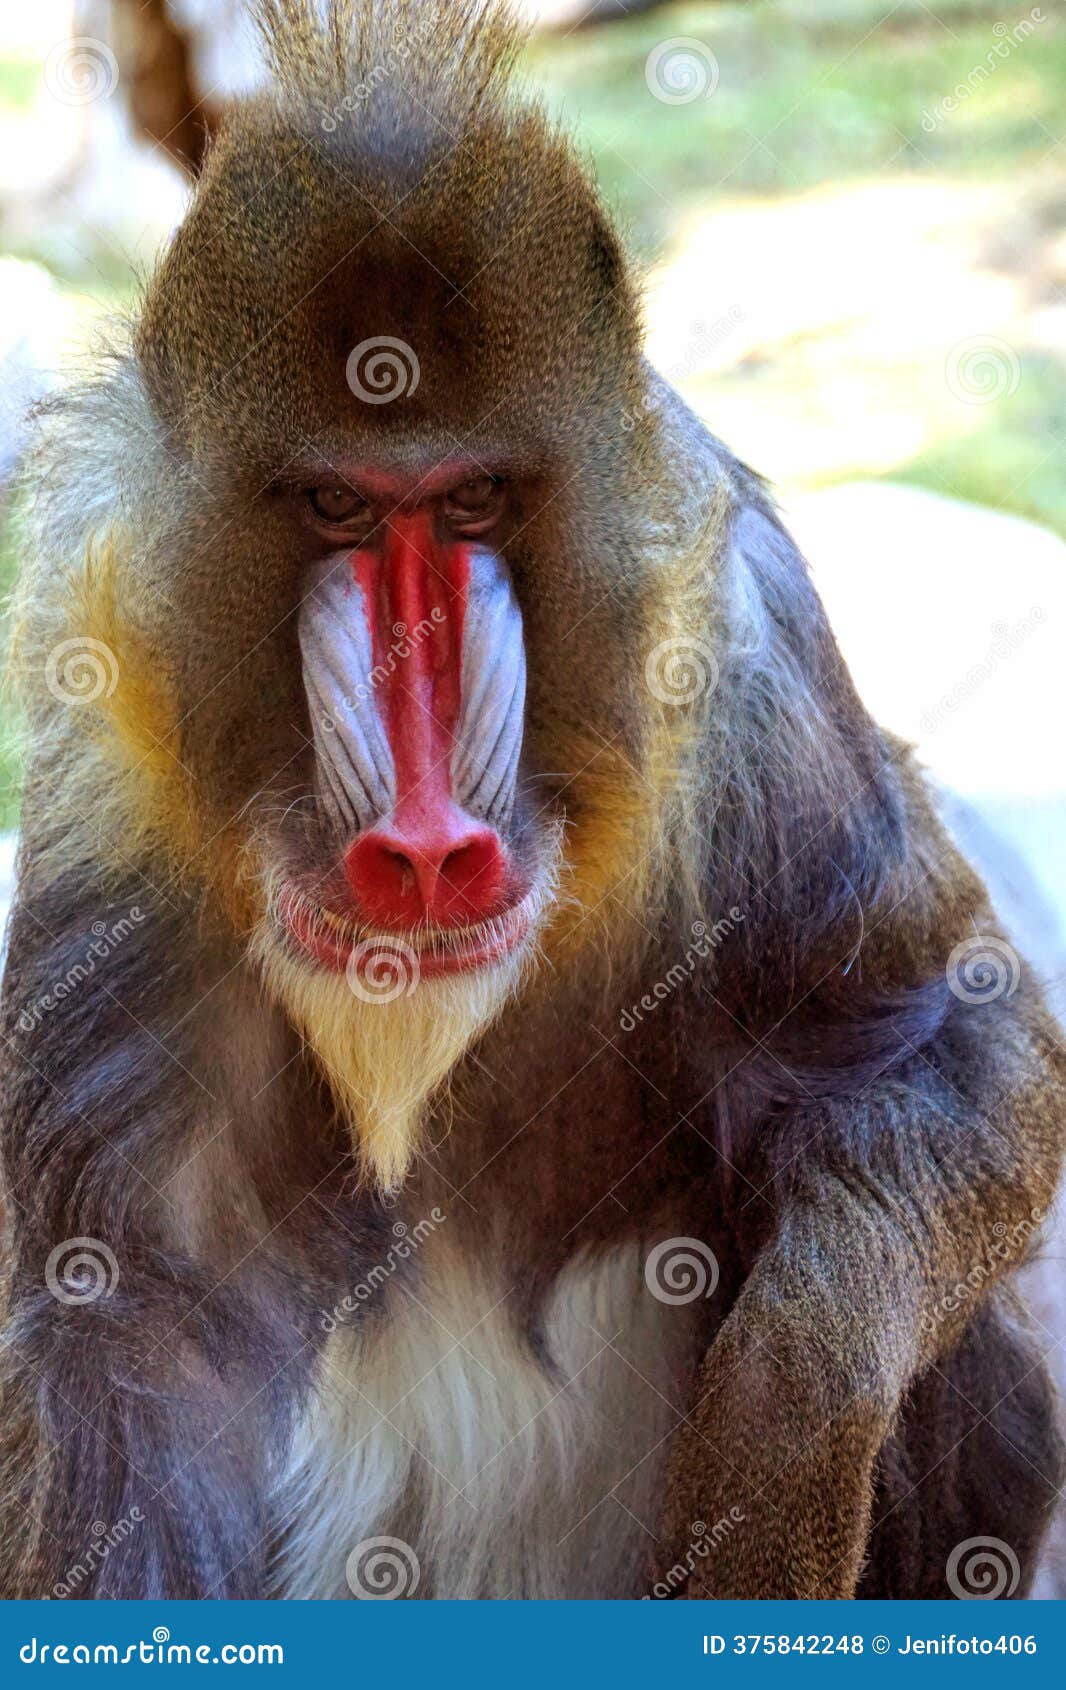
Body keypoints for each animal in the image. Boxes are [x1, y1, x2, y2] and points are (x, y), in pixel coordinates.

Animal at [0, 0, 1062, 1601]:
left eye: (474, 503)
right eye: (339, 508)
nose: (427, 850)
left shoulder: (749, 683)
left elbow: (940, 1038)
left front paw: (782, 1438)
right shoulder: (106, 769)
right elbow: (121, 1355)